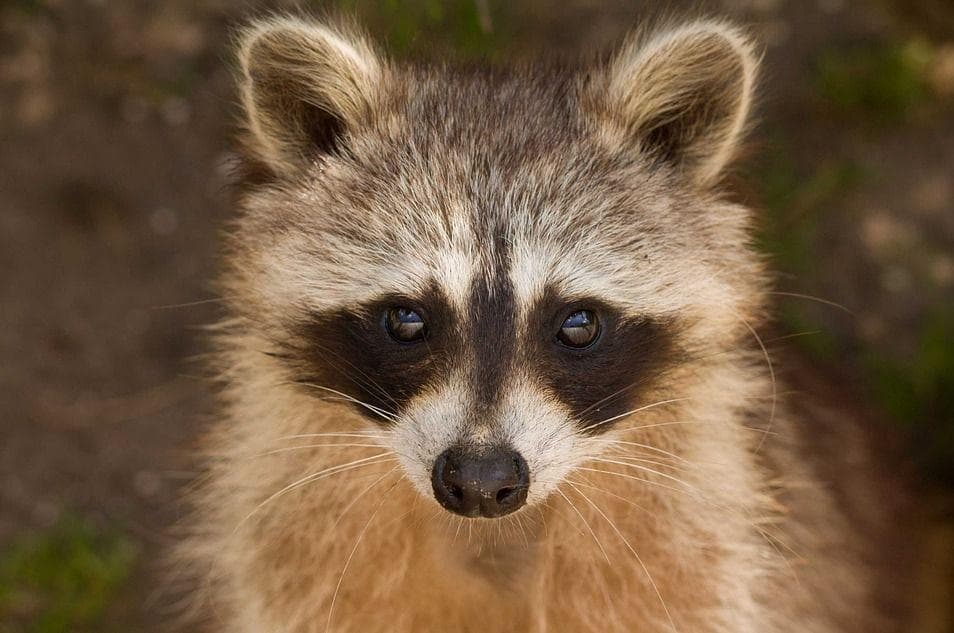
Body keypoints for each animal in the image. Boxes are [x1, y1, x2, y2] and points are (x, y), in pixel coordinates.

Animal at [179, 15, 910, 633]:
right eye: (407, 319)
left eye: (578, 324)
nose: (479, 482)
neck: (492, 537)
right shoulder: (295, 548)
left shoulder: (699, 557)